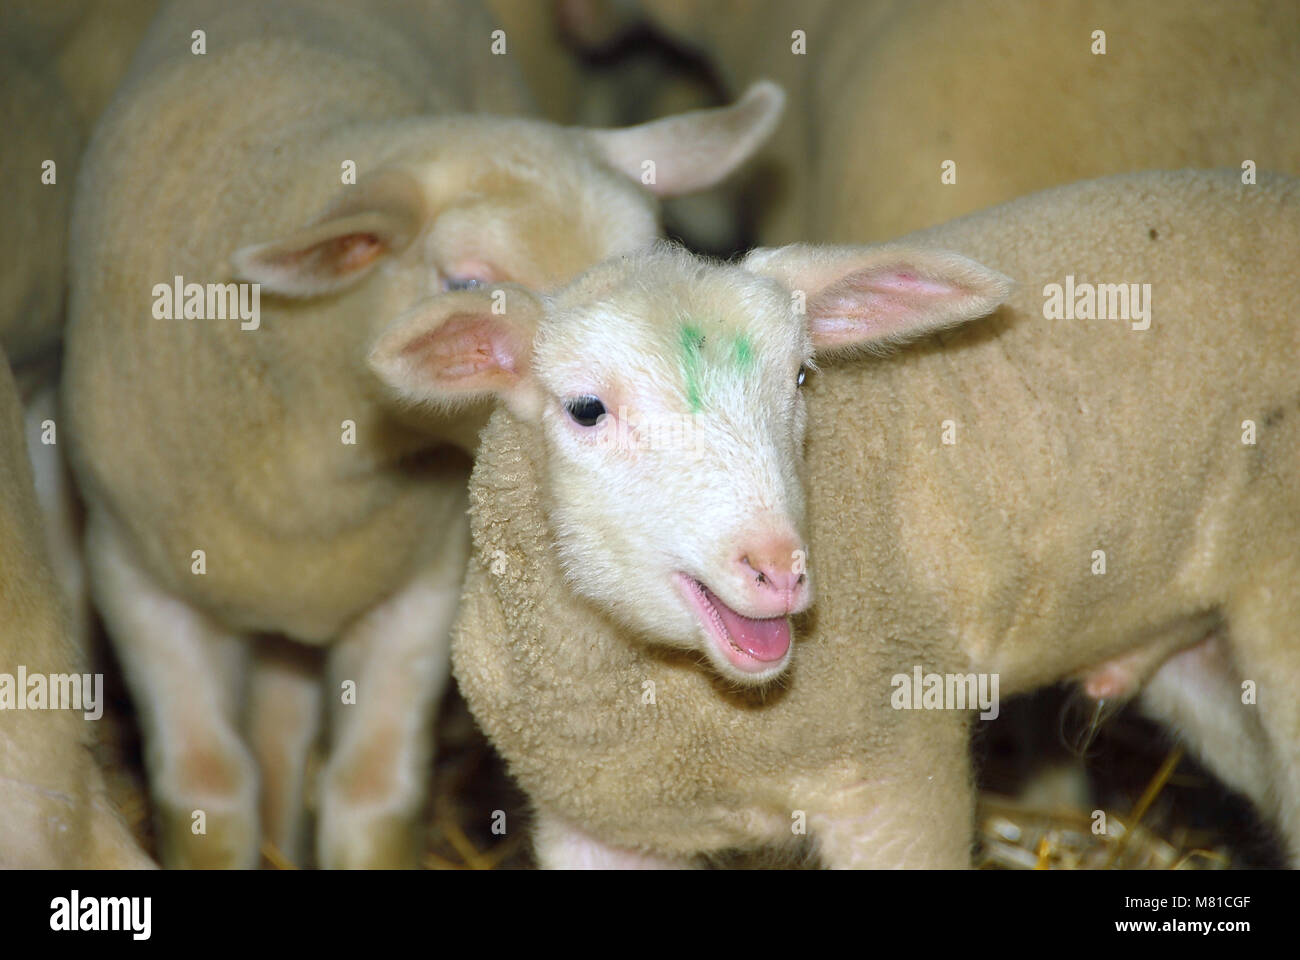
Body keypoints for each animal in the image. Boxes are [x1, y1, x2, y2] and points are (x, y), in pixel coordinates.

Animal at [370, 169, 1300, 867]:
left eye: (801, 379)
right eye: (587, 410)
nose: (779, 568)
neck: (687, 732)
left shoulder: (896, 778)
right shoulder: (596, 823)